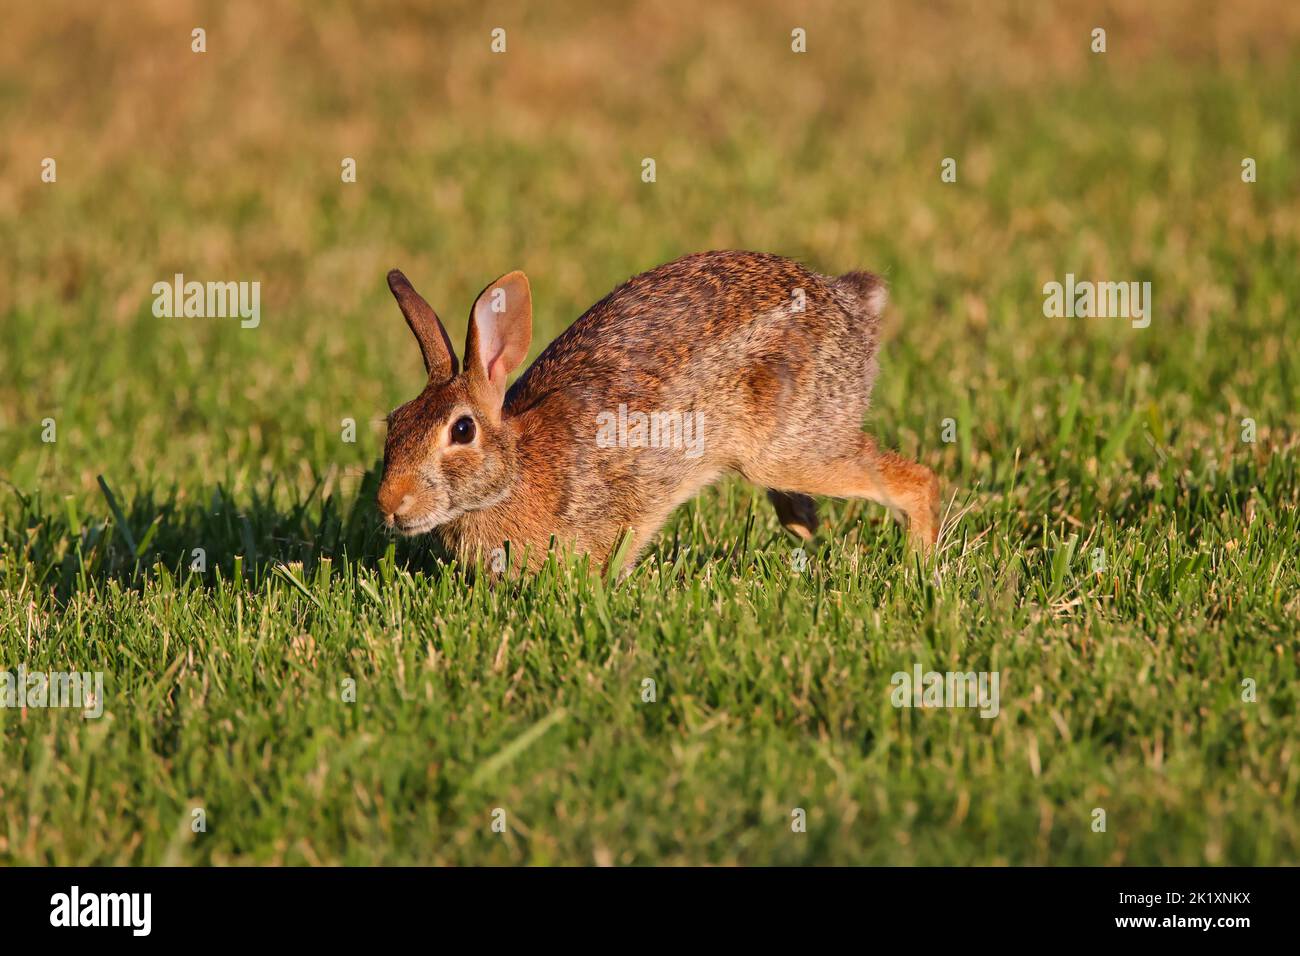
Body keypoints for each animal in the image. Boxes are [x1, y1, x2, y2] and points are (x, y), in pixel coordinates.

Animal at [377, 250, 940, 573]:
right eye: (395, 421)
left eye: (462, 430)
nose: (389, 503)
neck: (517, 470)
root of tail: (854, 306)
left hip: (795, 446)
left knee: (916, 479)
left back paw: (917, 567)